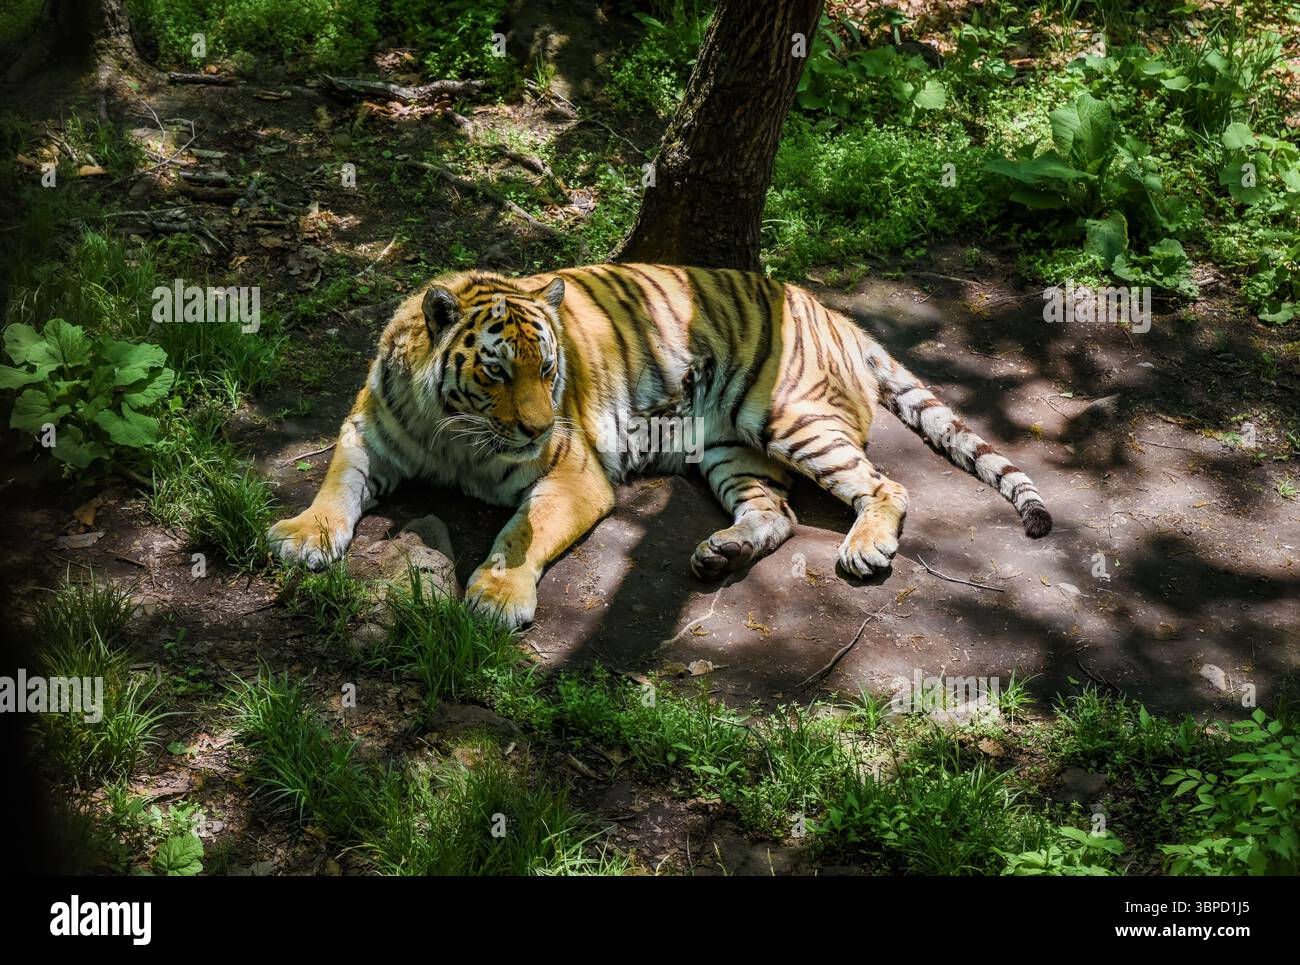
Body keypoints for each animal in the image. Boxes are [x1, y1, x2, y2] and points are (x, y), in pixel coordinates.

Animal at [268, 264, 1051, 629]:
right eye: (496, 370)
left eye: (546, 369)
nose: (535, 428)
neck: (451, 429)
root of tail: (835, 312)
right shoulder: (367, 431)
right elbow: (335, 484)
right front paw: (305, 534)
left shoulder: (572, 472)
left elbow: (522, 530)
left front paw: (496, 594)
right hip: (732, 450)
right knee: (777, 514)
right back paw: (720, 553)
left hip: (790, 418)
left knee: (887, 484)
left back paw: (864, 547)